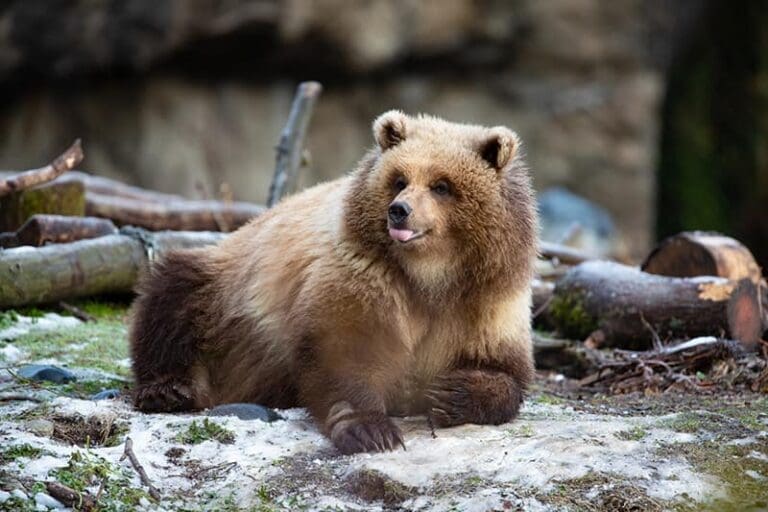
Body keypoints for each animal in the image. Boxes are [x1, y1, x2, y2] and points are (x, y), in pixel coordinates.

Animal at [129, 111, 538, 455]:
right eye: (399, 179)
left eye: (442, 185)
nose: (399, 211)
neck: (431, 274)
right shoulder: (362, 274)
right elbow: (345, 351)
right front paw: (371, 430)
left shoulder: (486, 299)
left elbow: (505, 371)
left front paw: (449, 392)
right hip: (229, 295)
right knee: (174, 295)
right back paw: (169, 389)